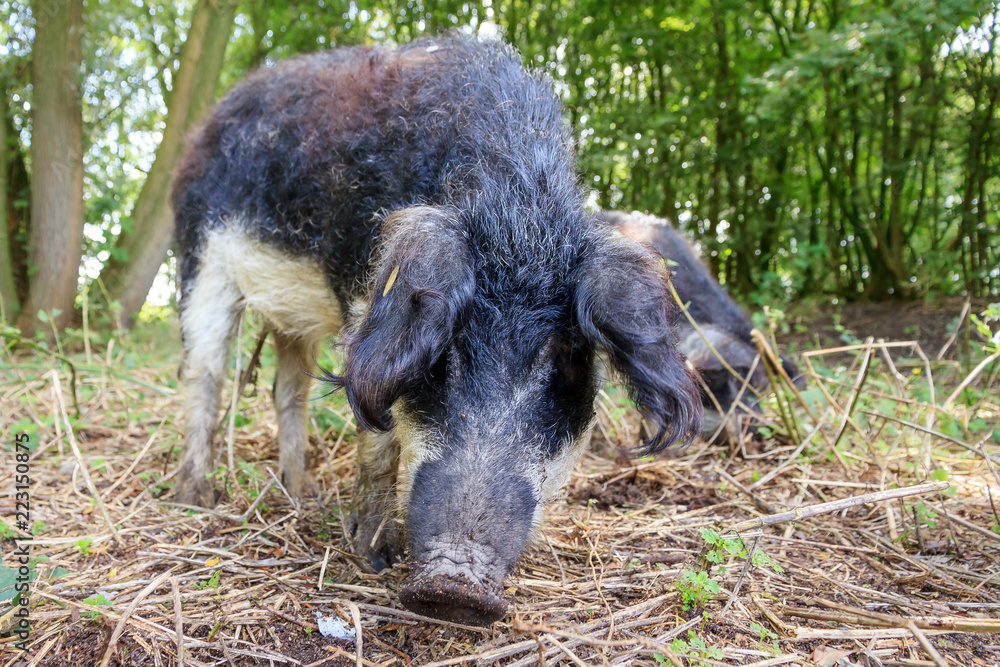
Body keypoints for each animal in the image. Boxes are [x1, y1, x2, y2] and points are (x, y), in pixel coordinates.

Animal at [171, 36, 702, 625]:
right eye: (447, 345)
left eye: (567, 355)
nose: (455, 585)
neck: (515, 210)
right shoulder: (367, 293)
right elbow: (377, 430)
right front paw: (376, 556)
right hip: (200, 257)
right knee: (204, 374)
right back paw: (196, 498)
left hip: (292, 313)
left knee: (287, 389)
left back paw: (301, 491)